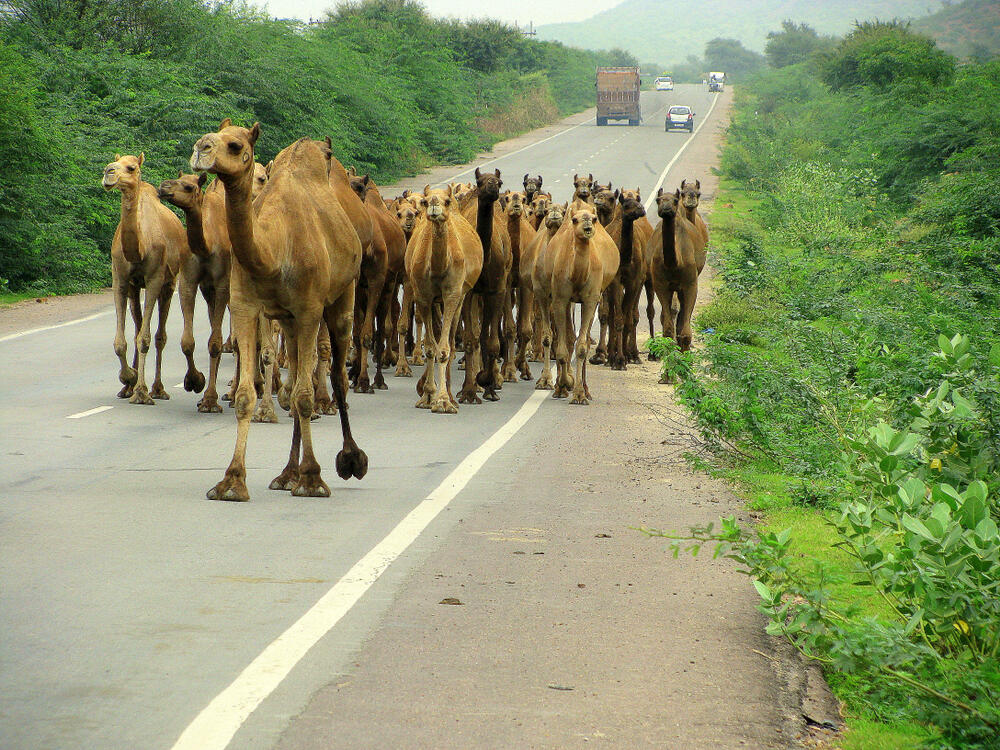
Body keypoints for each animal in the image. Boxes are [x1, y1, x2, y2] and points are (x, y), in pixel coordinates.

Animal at [102, 153, 187, 405]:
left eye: (131, 167)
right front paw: (128, 379)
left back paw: (157, 389)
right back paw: (129, 387)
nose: (108, 172)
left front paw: (140, 391)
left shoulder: (154, 280)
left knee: (159, 336)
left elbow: (146, 339)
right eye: (114, 163)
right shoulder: (120, 281)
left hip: (169, 284)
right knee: (138, 327)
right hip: (134, 289)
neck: (139, 248)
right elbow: (121, 341)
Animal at [190, 120, 366, 501]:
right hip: (288, 320)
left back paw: (349, 458)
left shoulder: (310, 308)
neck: (273, 252)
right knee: (298, 369)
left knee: (338, 374)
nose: (201, 149)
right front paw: (231, 481)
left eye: (236, 145)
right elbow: (247, 395)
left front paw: (313, 479)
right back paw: (287, 474)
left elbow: (304, 396)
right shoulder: (246, 305)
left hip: (342, 296)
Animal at [407, 185, 483, 413]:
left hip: (461, 298)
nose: (433, 204)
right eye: (424, 202)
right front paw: (428, 396)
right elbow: (431, 348)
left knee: (449, 339)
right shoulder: (423, 297)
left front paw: (442, 401)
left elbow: (443, 349)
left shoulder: (452, 295)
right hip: (435, 302)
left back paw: (451, 395)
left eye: (448, 201)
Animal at [545, 207, 619, 404]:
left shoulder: (590, 299)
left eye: (594, 219)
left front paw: (578, 394)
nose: (587, 227)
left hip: (596, 297)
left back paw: (586, 390)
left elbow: (581, 347)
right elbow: (562, 348)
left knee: (583, 339)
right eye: (574, 220)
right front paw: (562, 386)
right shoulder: (560, 298)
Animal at [645, 188, 706, 360]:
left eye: (675, 200)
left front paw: (686, 362)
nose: (666, 208)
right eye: (658, 200)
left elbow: (685, 331)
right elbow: (667, 329)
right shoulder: (661, 285)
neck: (675, 263)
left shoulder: (690, 284)